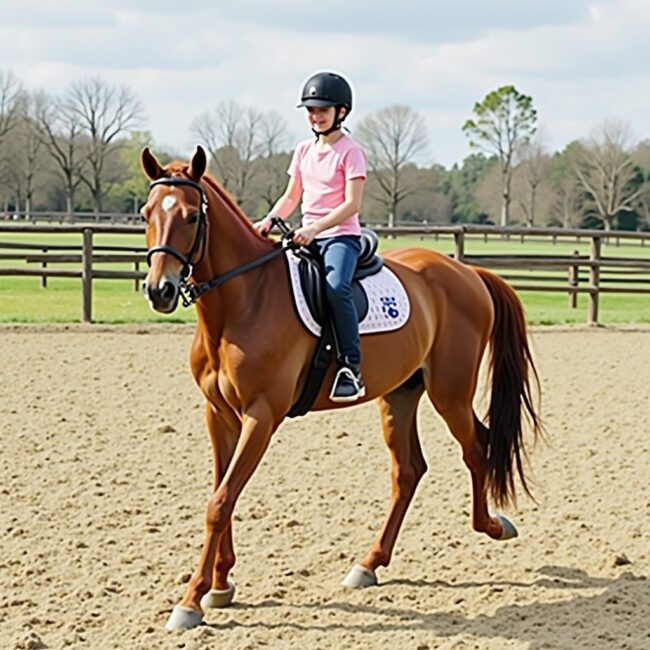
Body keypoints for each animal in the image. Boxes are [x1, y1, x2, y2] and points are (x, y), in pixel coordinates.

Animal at [139, 145, 542, 631]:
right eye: (146, 214)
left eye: (192, 216)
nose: (159, 291)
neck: (241, 302)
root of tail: (466, 271)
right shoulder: (219, 415)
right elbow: (222, 494)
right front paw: (220, 584)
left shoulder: (261, 416)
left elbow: (220, 503)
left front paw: (191, 601)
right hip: (400, 395)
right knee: (409, 471)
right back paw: (369, 563)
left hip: (451, 395)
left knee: (477, 450)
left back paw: (494, 526)